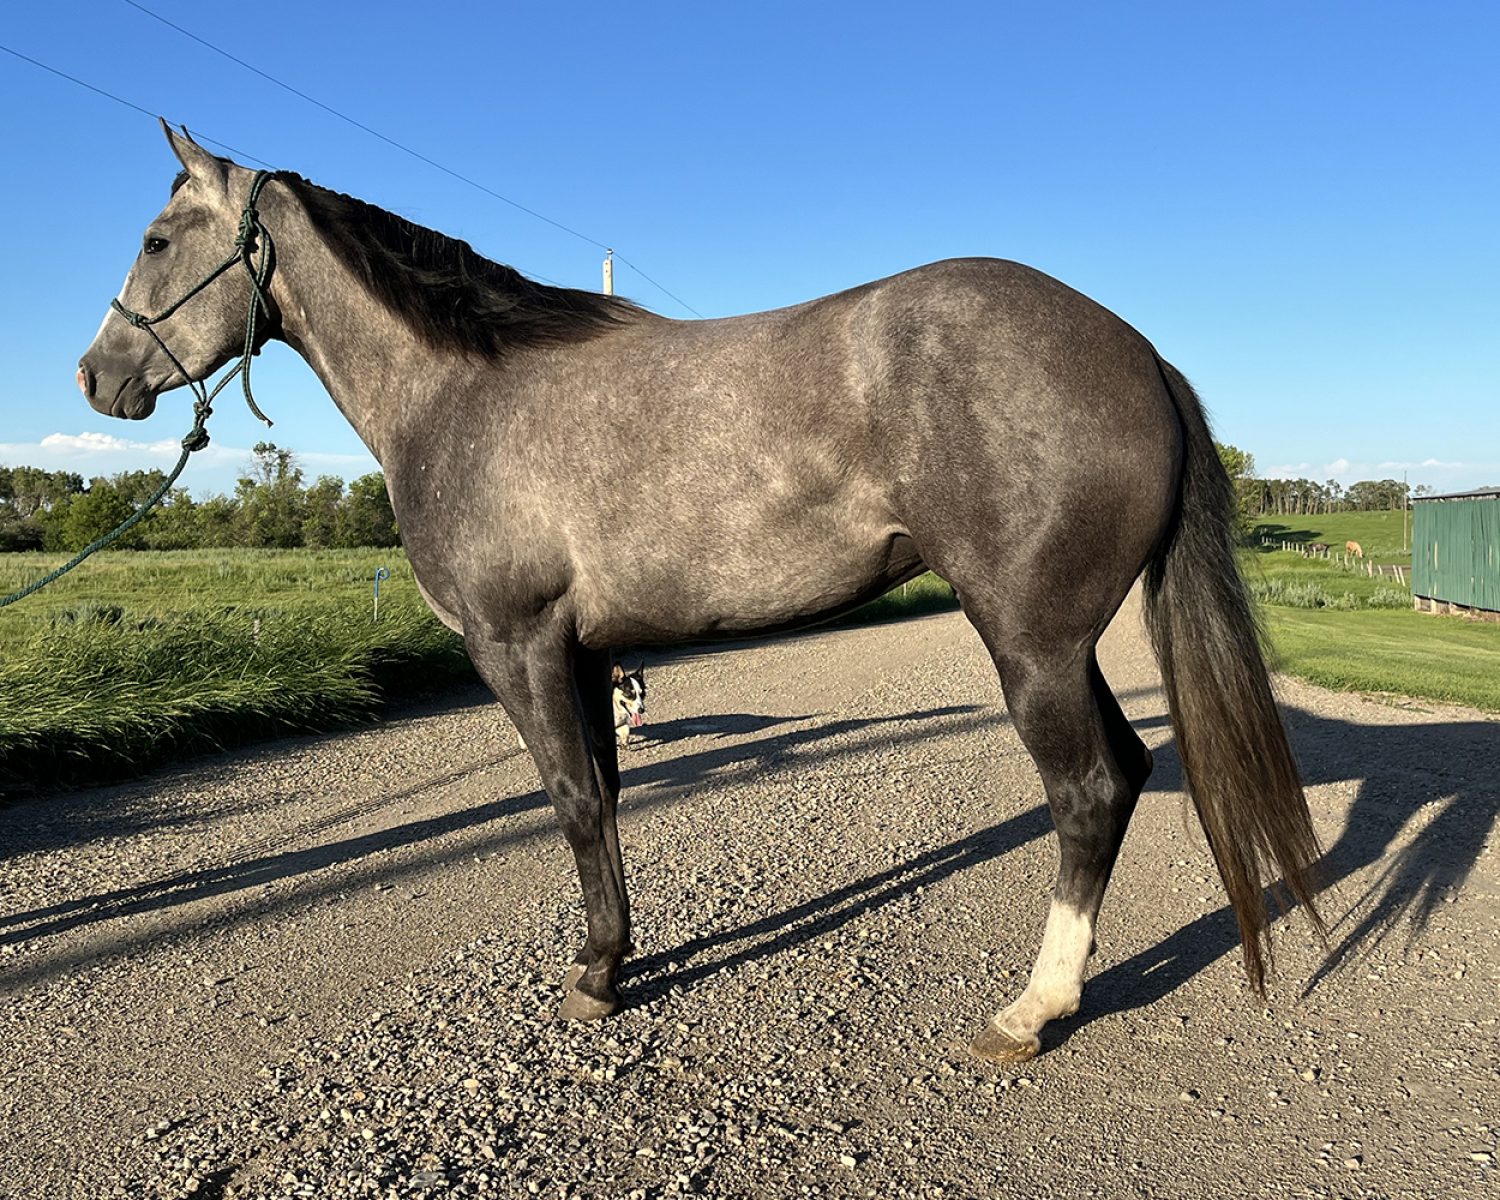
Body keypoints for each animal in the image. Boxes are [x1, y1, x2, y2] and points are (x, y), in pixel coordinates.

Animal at [77, 124, 1323, 1063]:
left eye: (154, 238)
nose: (97, 379)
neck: (461, 396)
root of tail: (1136, 352)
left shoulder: (518, 648)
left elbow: (573, 803)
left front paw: (593, 981)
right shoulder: (585, 654)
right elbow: (607, 797)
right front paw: (614, 954)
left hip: (1031, 644)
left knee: (1088, 791)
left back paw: (1032, 1011)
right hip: (1062, 644)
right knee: (1129, 773)